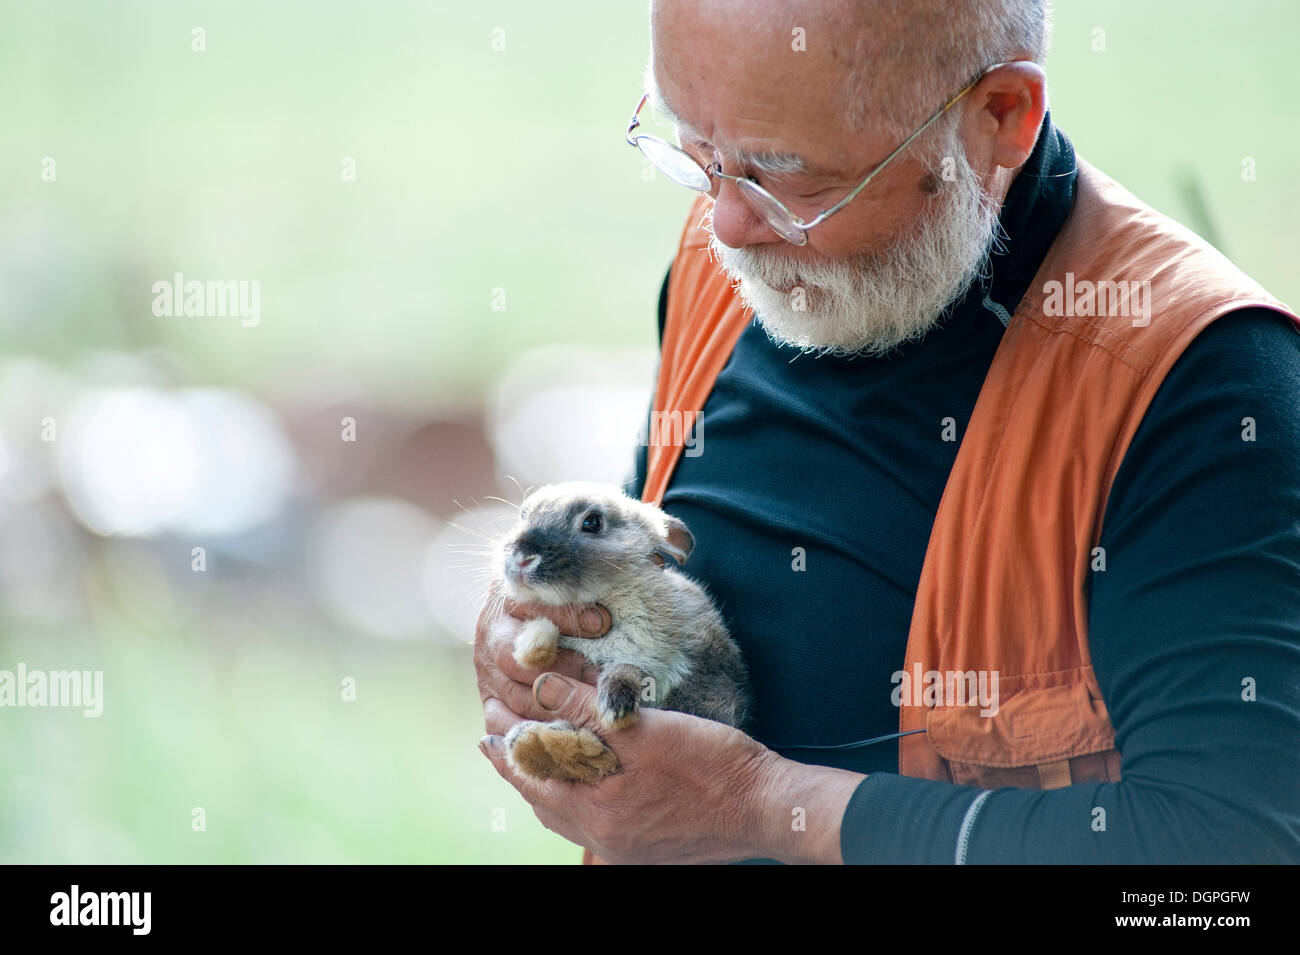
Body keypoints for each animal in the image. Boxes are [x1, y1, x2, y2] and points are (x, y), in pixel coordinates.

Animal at [489, 481, 752, 784]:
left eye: (592, 522)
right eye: (523, 515)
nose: (522, 558)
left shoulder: (653, 654)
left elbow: (629, 669)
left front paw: (616, 707)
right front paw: (533, 647)